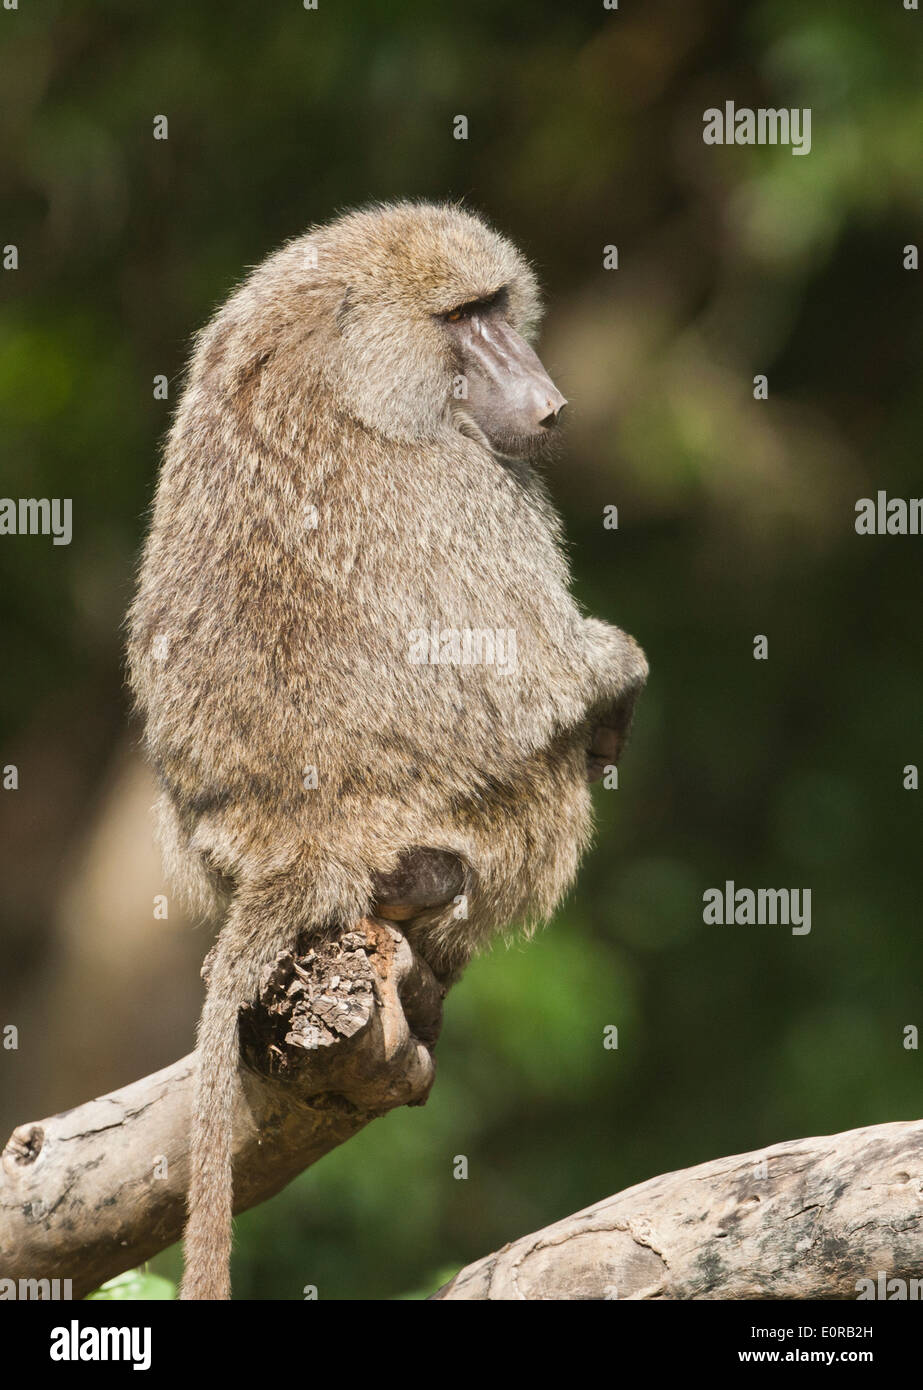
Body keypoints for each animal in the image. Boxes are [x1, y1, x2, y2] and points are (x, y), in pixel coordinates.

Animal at [126, 200, 647, 1300]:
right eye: (461, 319)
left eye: (495, 306)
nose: (547, 404)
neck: (325, 367)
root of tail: (298, 852)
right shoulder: (472, 483)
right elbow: (531, 681)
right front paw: (615, 672)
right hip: (486, 826)